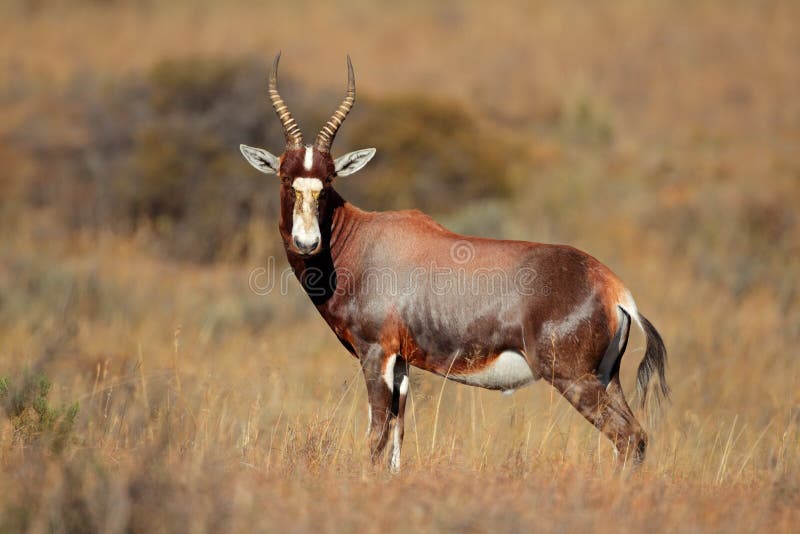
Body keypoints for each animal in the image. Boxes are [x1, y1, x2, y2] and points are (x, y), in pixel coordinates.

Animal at [240, 54, 669, 472]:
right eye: (285, 178)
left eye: (327, 181)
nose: (307, 242)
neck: (364, 240)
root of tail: (615, 289)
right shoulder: (402, 362)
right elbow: (397, 439)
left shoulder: (376, 353)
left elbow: (376, 436)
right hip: (607, 377)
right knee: (636, 438)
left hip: (574, 378)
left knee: (627, 436)